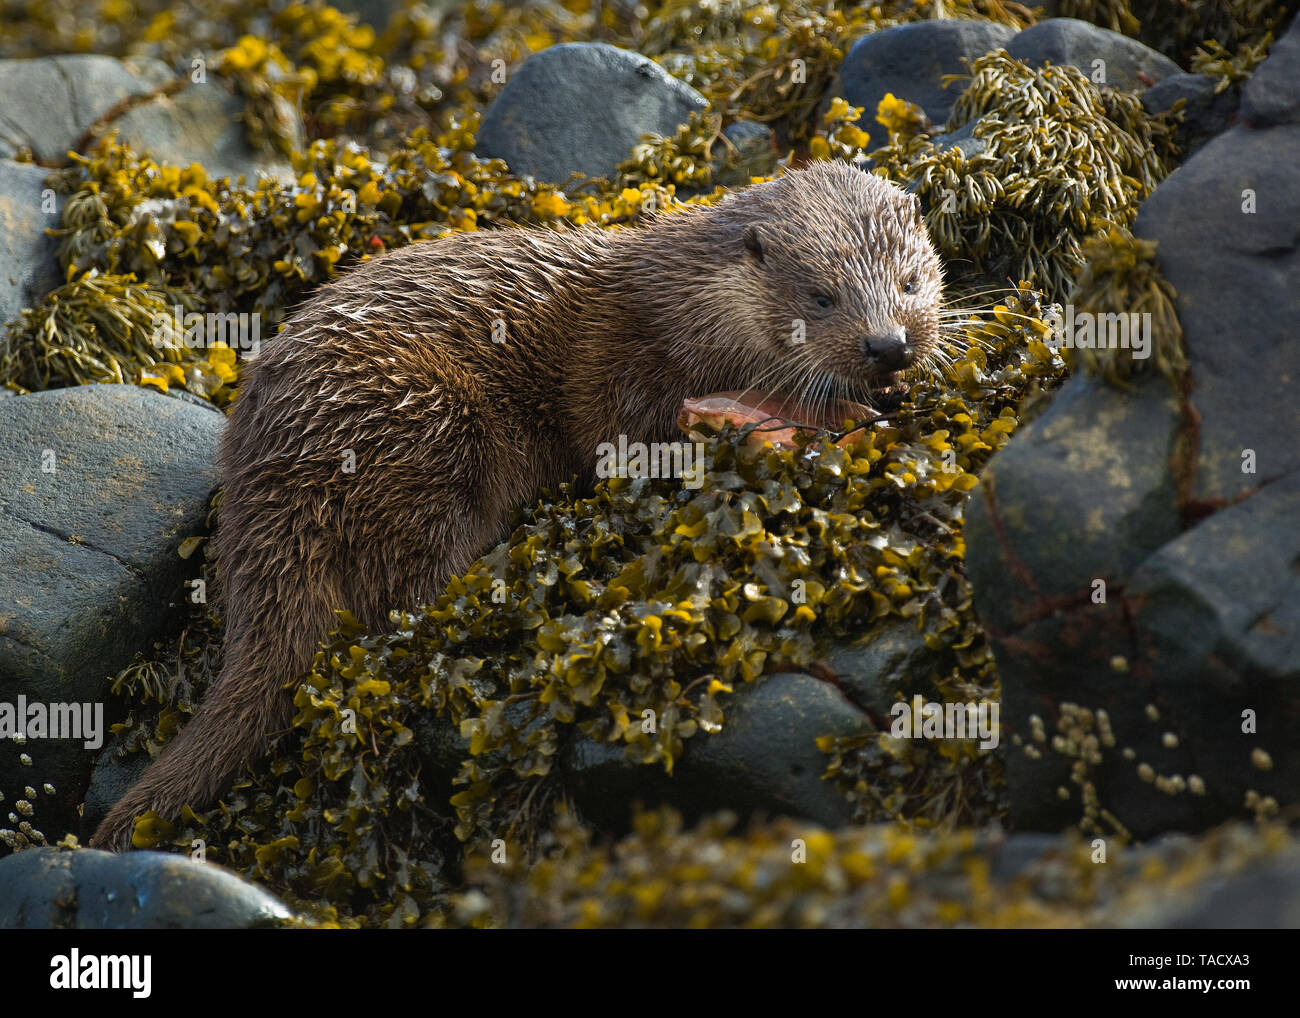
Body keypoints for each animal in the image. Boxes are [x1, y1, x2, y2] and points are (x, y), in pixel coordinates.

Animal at [90, 159, 944, 850]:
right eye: (820, 297)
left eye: (910, 282)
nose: (888, 346)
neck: (683, 308)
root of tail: (264, 471)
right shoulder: (625, 367)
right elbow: (619, 437)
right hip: (429, 425)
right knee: (405, 592)